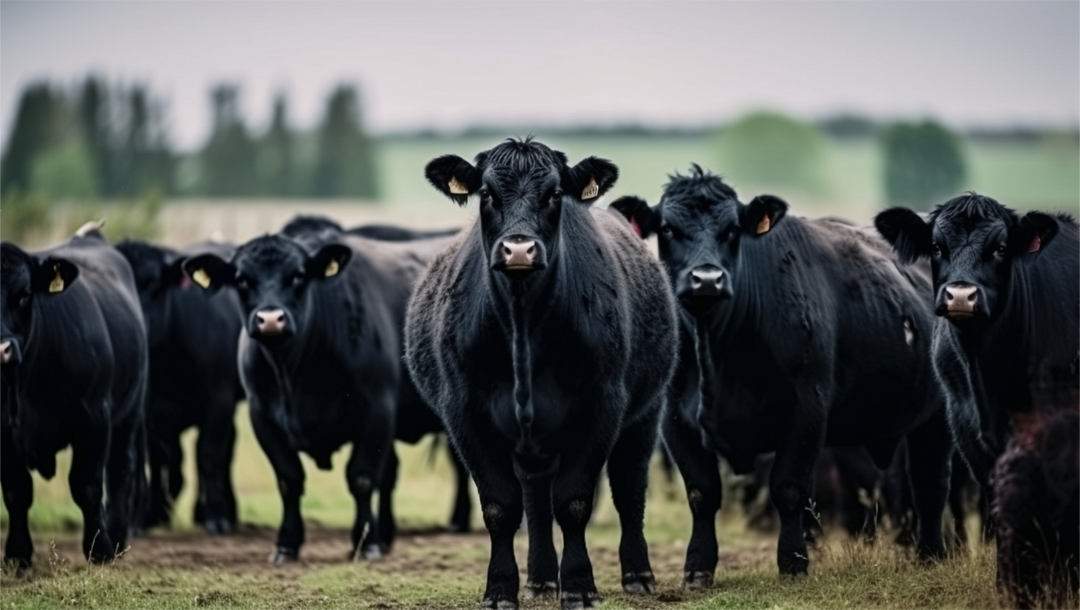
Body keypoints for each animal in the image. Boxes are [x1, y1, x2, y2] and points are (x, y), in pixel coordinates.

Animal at [0, 225, 148, 567]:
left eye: (24, 294)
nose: (1, 349)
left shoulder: (95, 419)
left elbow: (87, 485)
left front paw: (100, 548)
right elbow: (16, 491)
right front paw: (17, 554)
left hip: (128, 414)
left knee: (120, 469)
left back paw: (116, 536)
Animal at [115, 239, 244, 535]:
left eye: (154, 285)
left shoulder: (220, 402)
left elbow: (209, 456)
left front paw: (217, 517)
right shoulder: (148, 411)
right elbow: (154, 458)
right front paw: (143, 516)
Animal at [183, 224, 458, 563]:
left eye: (298, 276)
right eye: (242, 279)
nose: (271, 319)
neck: (296, 379)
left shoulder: (377, 409)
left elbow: (362, 478)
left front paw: (366, 544)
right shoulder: (262, 416)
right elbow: (289, 480)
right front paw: (286, 544)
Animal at [406, 137, 679, 610]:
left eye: (554, 194)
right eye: (487, 193)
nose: (518, 249)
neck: (523, 326)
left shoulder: (601, 406)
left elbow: (574, 502)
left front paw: (580, 585)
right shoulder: (465, 415)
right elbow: (501, 508)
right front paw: (500, 589)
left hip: (646, 414)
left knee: (629, 486)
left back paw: (637, 575)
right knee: (535, 499)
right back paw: (540, 580)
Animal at [611, 166, 952, 584]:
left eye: (732, 230)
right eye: (668, 229)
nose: (706, 279)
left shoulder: (806, 408)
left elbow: (789, 488)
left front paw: (793, 563)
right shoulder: (676, 418)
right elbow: (702, 492)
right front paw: (697, 568)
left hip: (938, 417)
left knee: (929, 483)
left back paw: (930, 556)